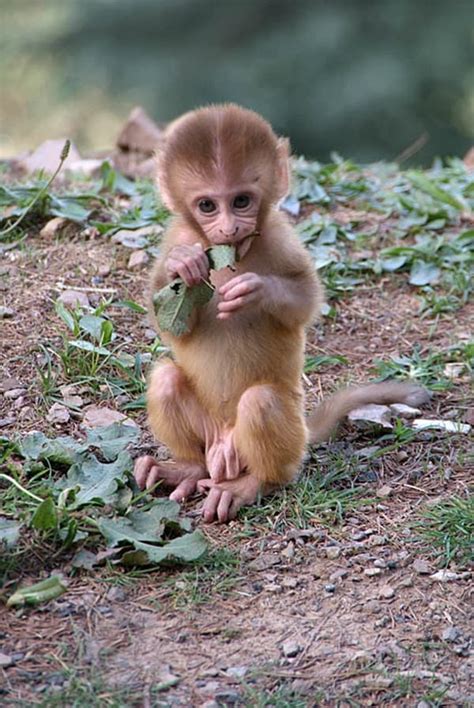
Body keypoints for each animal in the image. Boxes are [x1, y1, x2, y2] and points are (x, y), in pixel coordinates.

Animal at [133, 103, 428, 523]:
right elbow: (170, 321)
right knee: (166, 379)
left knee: (261, 405)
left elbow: (305, 299)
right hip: (211, 438)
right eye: (207, 205)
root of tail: (223, 448)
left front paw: (256, 290)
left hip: (284, 438)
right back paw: (186, 468)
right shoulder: (176, 237)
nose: (228, 228)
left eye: (241, 201)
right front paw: (184, 265)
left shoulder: (281, 237)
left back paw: (253, 483)